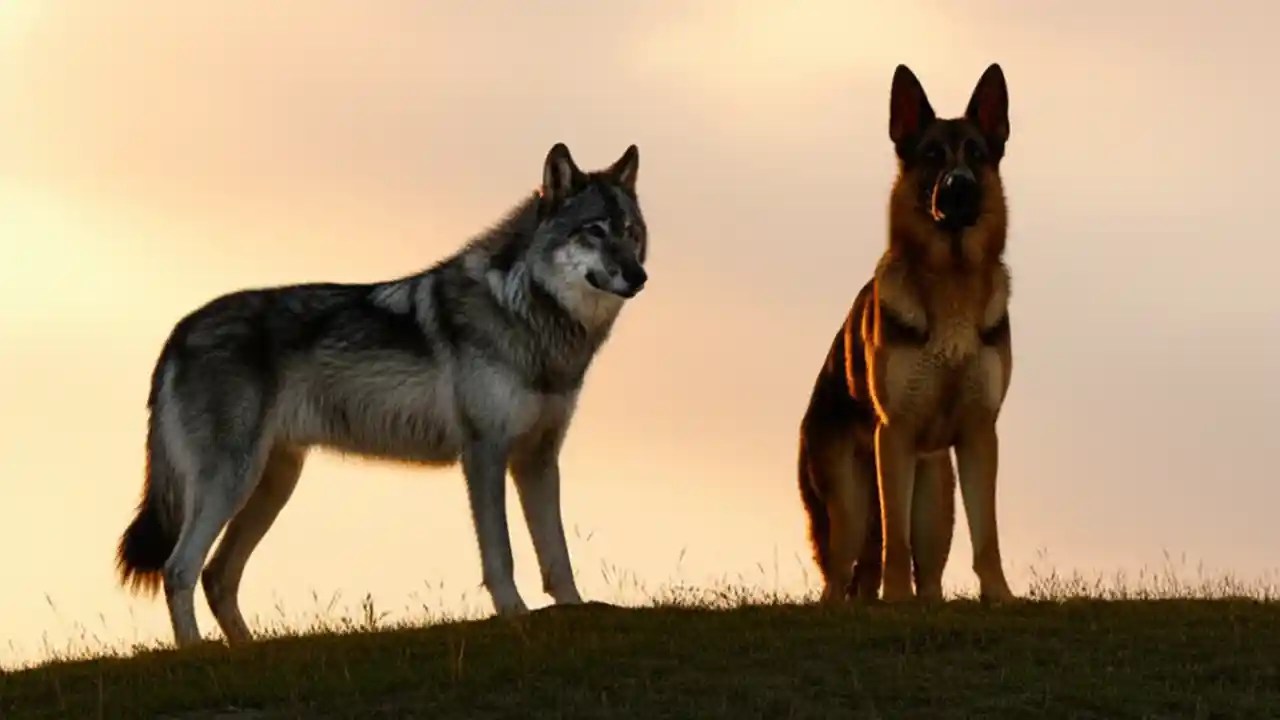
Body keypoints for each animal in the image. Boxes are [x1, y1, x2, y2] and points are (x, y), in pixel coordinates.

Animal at [115, 142, 648, 647]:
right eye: (594, 230)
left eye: (629, 230)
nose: (639, 276)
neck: (529, 314)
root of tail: (180, 330)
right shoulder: (484, 453)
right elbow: (502, 554)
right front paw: (514, 615)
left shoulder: (538, 458)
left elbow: (556, 553)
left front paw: (575, 610)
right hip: (231, 480)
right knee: (179, 569)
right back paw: (195, 651)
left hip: (271, 484)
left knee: (217, 575)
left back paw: (245, 650)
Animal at [798, 63, 1016, 604]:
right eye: (932, 155)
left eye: (976, 154)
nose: (959, 188)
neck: (952, 280)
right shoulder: (893, 434)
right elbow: (893, 542)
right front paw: (894, 599)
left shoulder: (980, 435)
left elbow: (988, 533)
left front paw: (999, 596)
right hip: (851, 504)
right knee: (843, 572)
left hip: (937, 496)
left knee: (929, 572)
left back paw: (928, 603)